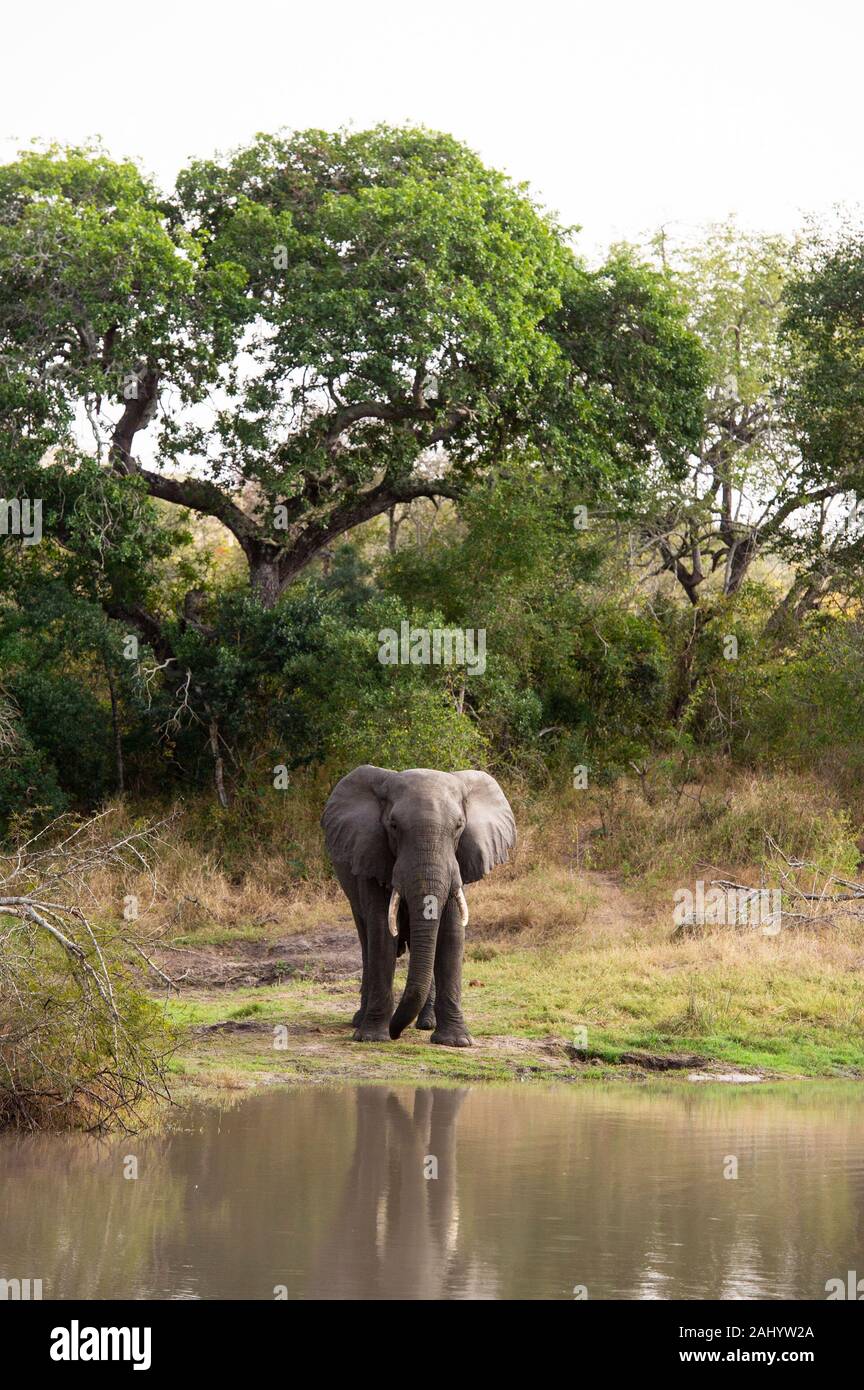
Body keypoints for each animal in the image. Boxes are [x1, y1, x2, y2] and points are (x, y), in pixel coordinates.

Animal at [321, 765, 516, 1045]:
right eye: (393, 826)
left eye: (459, 826)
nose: (395, 1032)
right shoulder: (372, 854)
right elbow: (382, 933)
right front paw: (372, 1037)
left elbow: (451, 933)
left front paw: (455, 1042)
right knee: (366, 939)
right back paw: (360, 1020)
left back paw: (426, 1024)